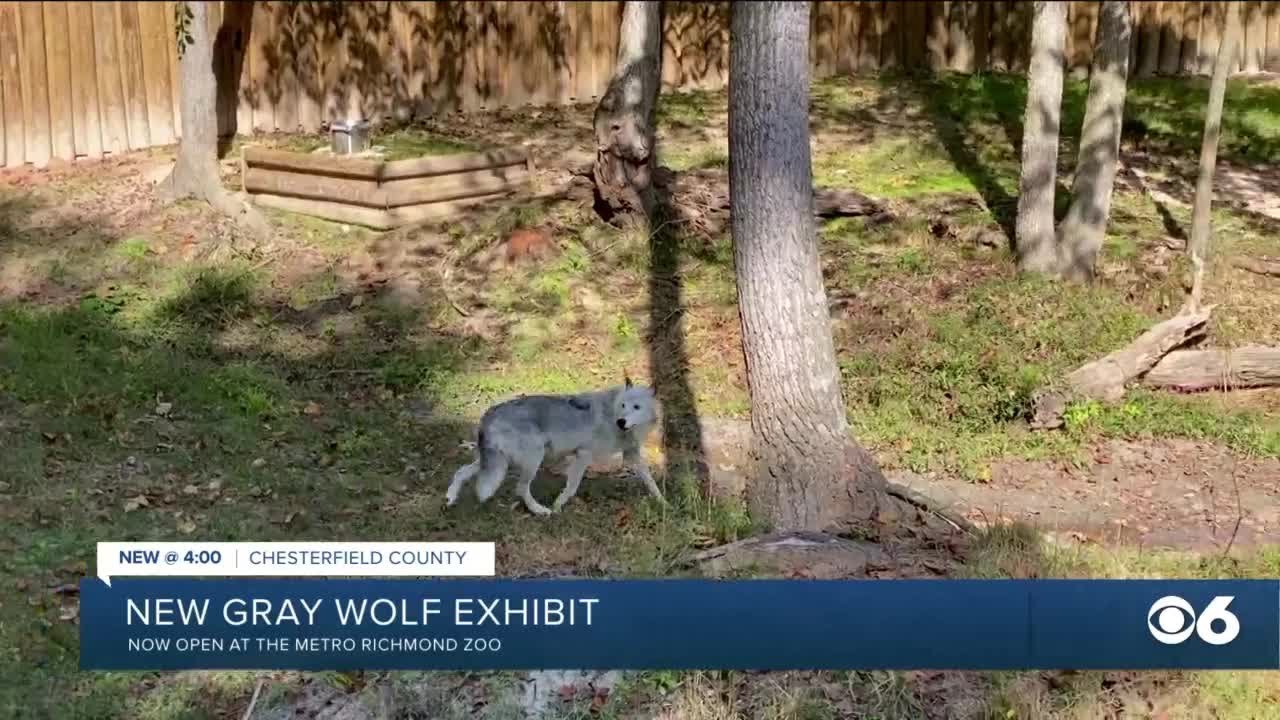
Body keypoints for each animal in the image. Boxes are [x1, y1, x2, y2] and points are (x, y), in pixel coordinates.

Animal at [446, 378, 663, 515]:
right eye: (624, 405)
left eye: (636, 407)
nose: (621, 421)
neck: (611, 412)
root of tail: (489, 413)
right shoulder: (583, 455)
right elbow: (571, 487)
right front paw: (558, 507)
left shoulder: (631, 454)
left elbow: (650, 481)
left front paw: (663, 503)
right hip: (531, 459)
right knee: (520, 488)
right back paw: (540, 510)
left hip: (497, 462)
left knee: (461, 471)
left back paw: (450, 498)